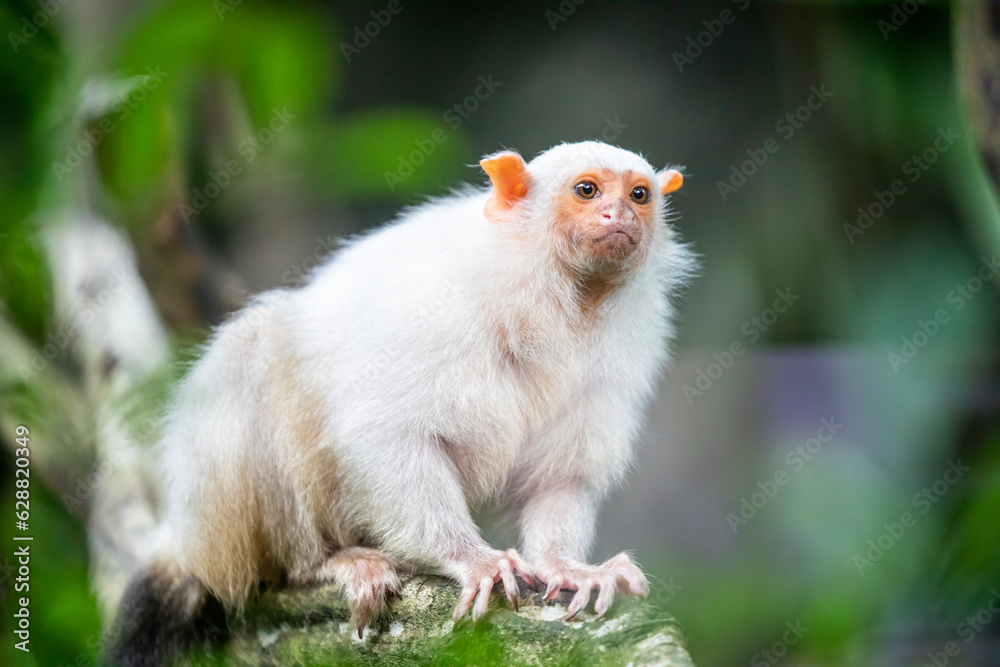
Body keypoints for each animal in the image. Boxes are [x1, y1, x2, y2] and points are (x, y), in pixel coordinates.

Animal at [110, 140, 694, 666]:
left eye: (639, 194)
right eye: (587, 190)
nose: (618, 214)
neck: (560, 301)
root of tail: (183, 537)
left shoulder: (616, 357)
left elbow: (561, 478)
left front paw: (568, 567)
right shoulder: (441, 309)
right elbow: (384, 433)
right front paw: (472, 560)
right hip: (217, 530)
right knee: (257, 346)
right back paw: (325, 563)